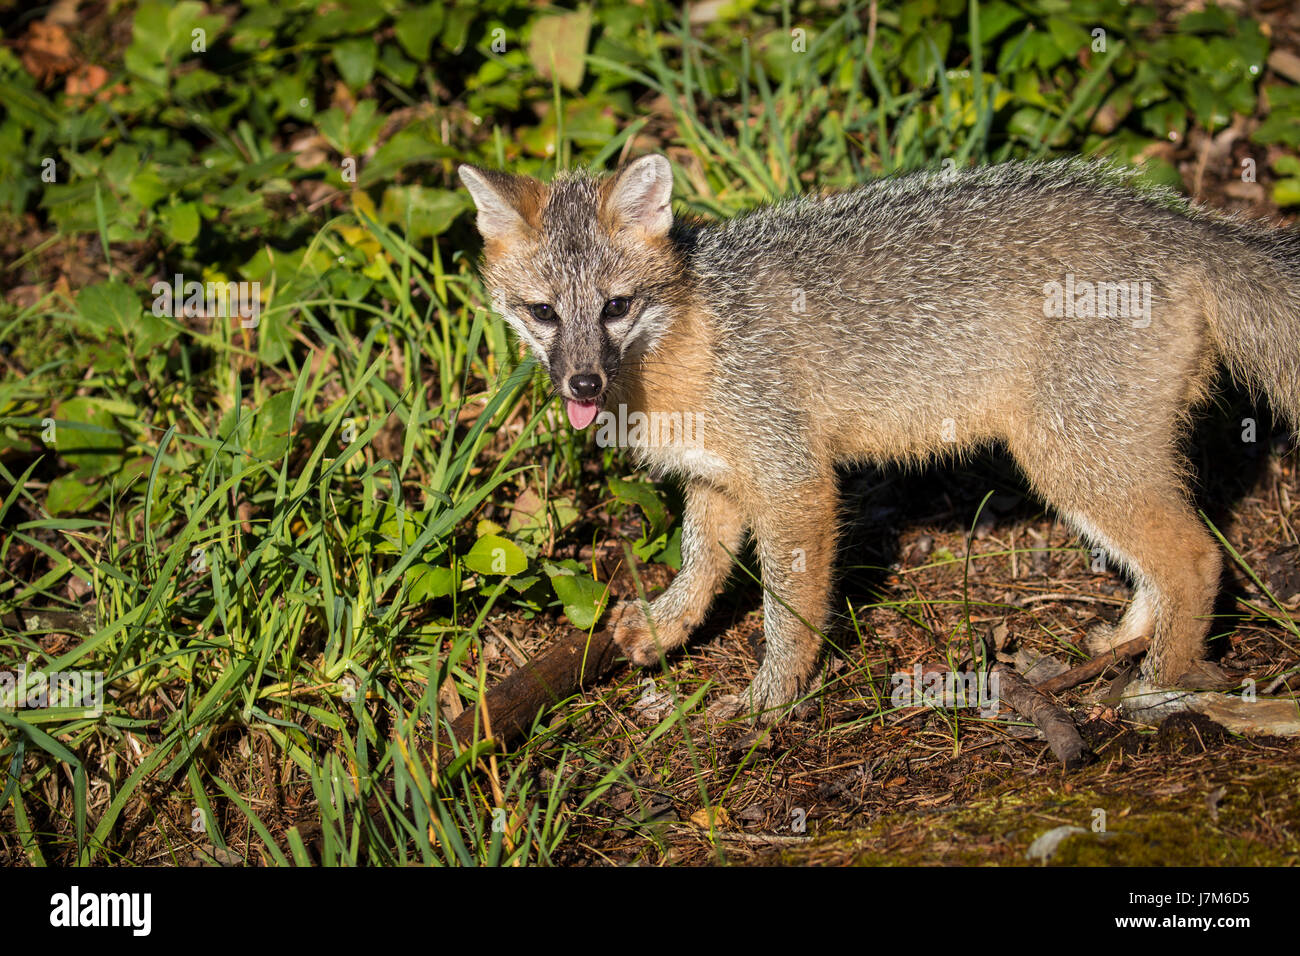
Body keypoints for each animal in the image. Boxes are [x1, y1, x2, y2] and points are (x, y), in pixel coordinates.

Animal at [458, 153, 1300, 721]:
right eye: (542, 312)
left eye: (616, 306)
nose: (582, 384)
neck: (693, 339)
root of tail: (1179, 224)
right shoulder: (718, 478)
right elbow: (700, 565)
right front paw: (668, 626)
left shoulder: (793, 481)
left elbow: (788, 611)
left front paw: (769, 700)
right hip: (1094, 462)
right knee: (1164, 561)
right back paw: (1127, 644)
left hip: (1071, 458)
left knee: (1196, 559)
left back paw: (1162, 683)